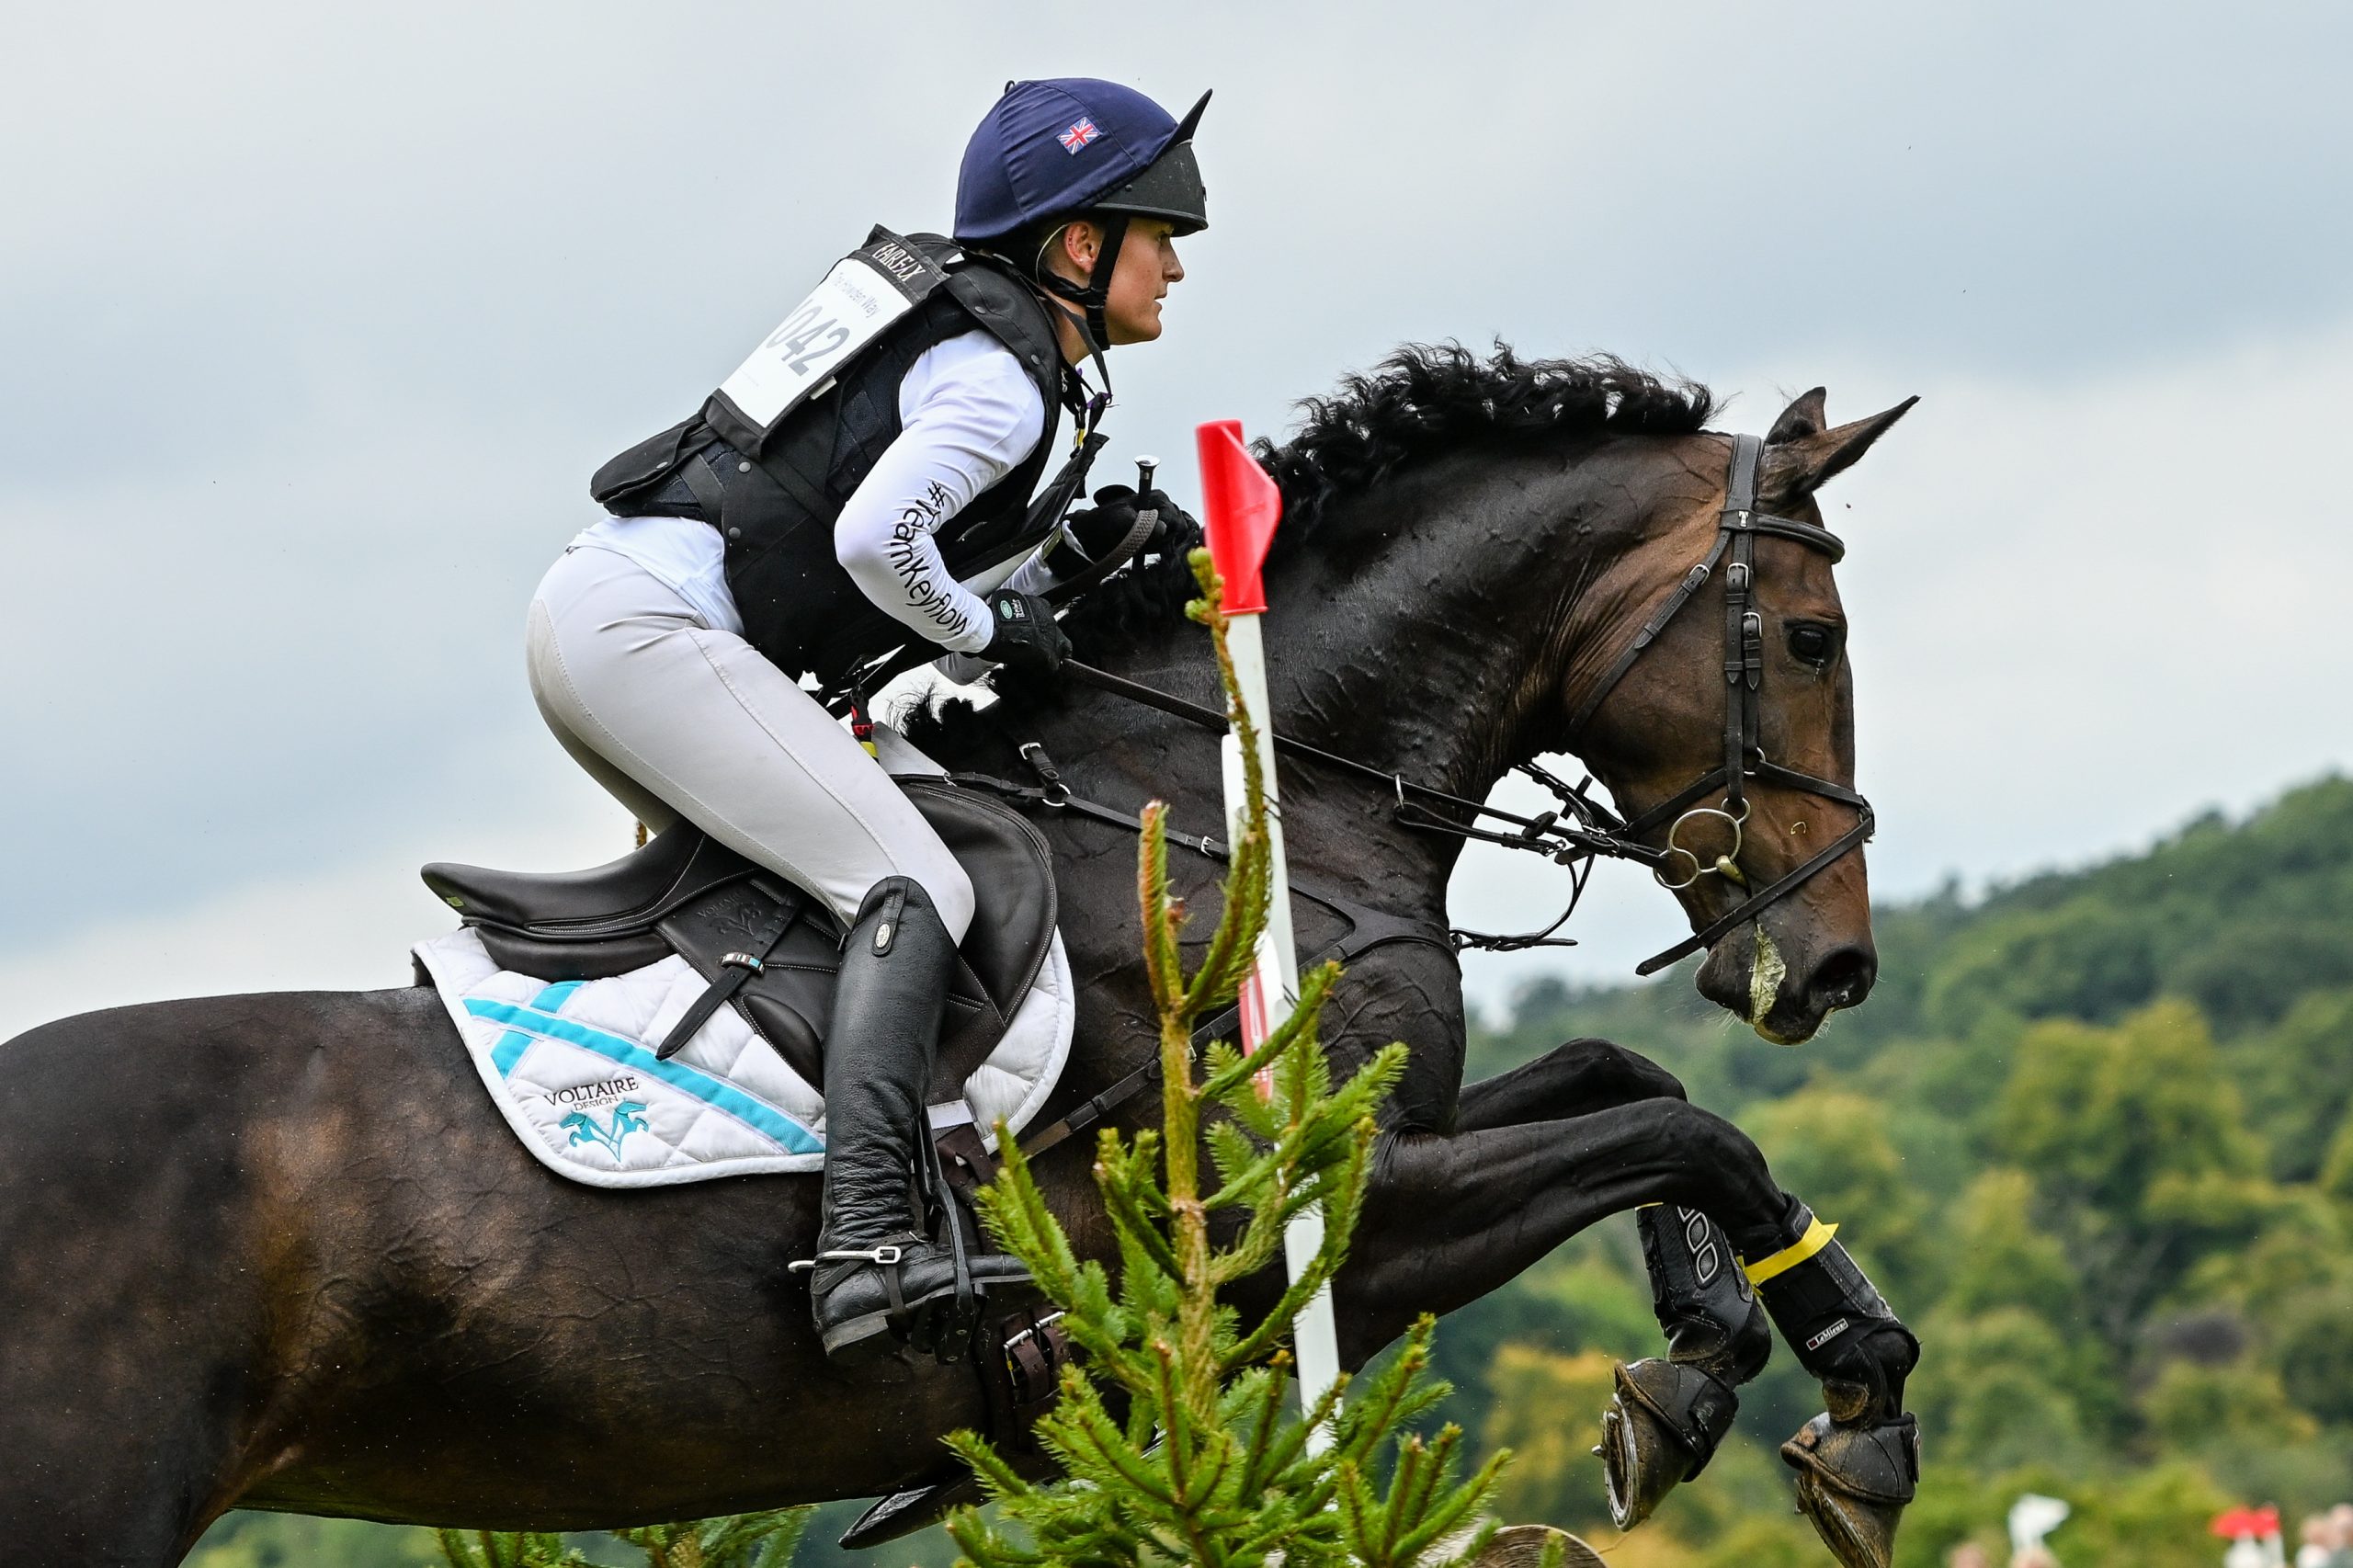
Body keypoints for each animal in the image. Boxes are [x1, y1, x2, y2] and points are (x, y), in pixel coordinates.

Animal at [0, 345, 1914, 1566]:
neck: (1241, 802)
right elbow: (1681, 1124)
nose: (1829, 968)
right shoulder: (1327, 1224)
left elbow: (1629, 1077)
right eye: (1814, 637)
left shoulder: (1390, 1138)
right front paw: (1852, 1412)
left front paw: (1707, 1366)